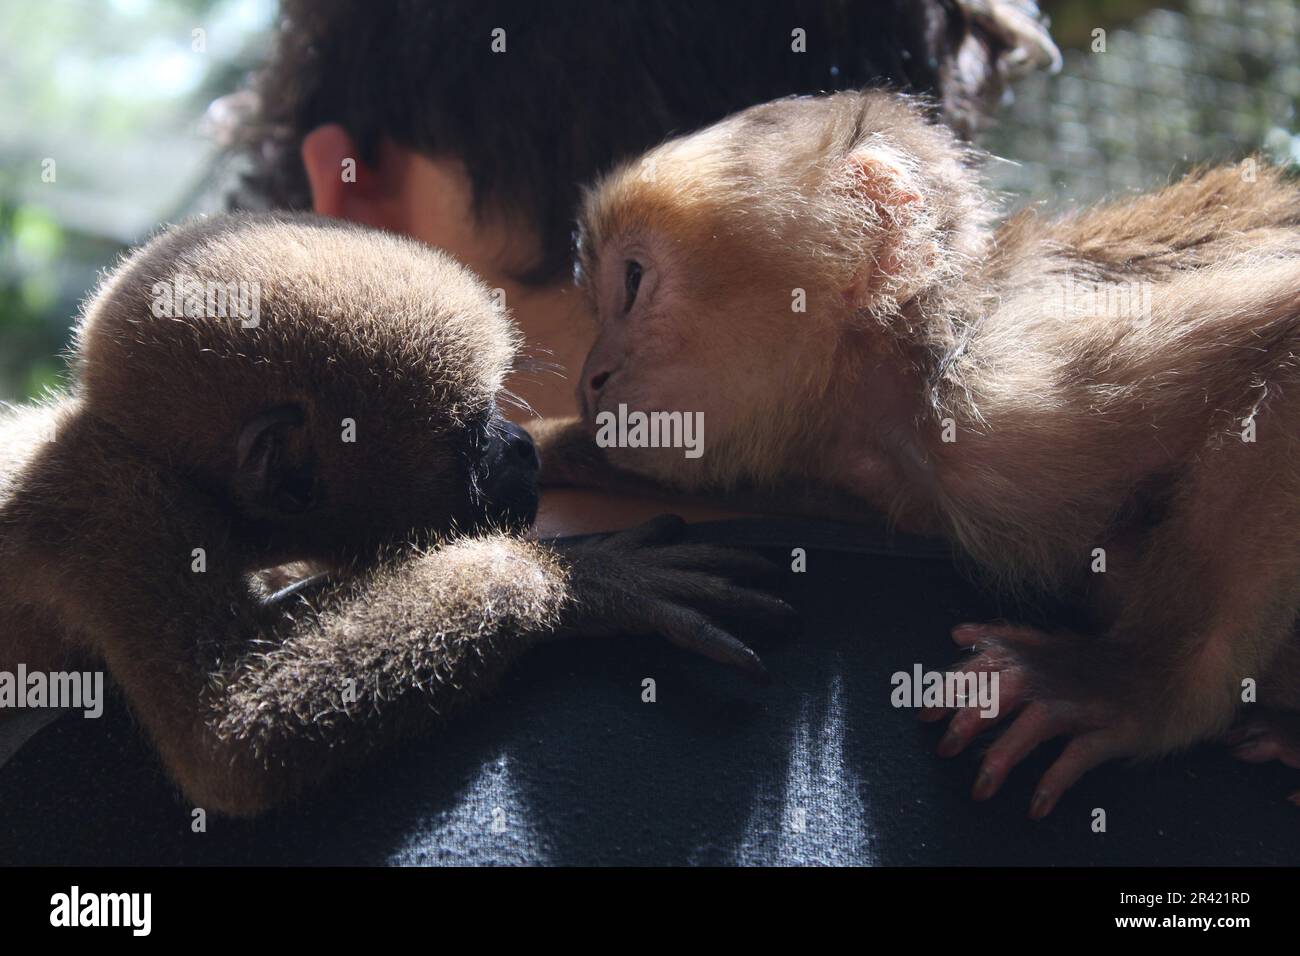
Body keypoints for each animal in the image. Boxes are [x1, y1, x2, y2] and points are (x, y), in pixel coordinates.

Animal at [0, 213, 793, 817]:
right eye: (468, 438)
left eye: (495, 416)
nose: (517, 447)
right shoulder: (123, 508)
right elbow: (229, 736)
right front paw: (586, 579)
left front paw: (598, 447)